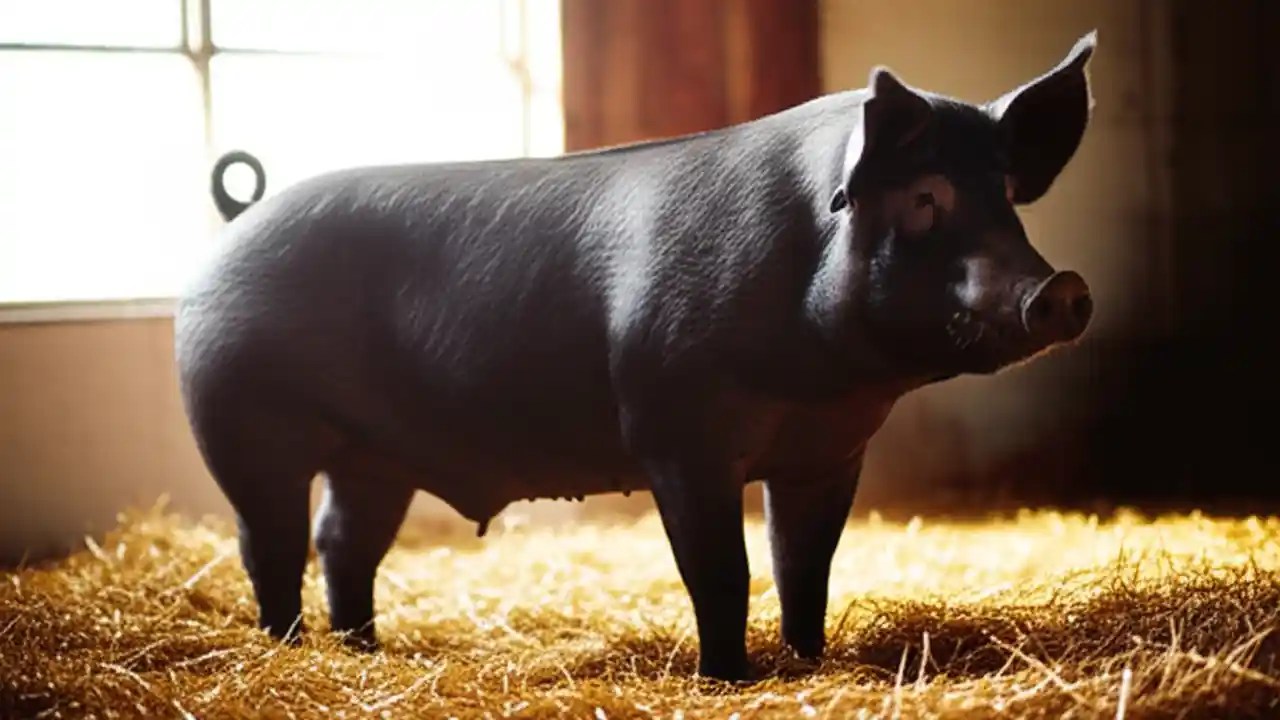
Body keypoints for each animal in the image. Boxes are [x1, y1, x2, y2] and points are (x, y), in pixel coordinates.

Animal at [175, 31, 1098, 681]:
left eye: (1008, 196)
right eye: (924, 198)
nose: (1059, 287)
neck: (816, 377)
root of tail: (235, 222)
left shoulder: (829, 452)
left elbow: (804, 567)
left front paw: (809, 662)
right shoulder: (678, 434)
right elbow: (720, 570)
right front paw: (728, 679)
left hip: (373, 456)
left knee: (342, 541)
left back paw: (361, 649)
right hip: (240, 421)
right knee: (270, 541)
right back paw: (288, 648)